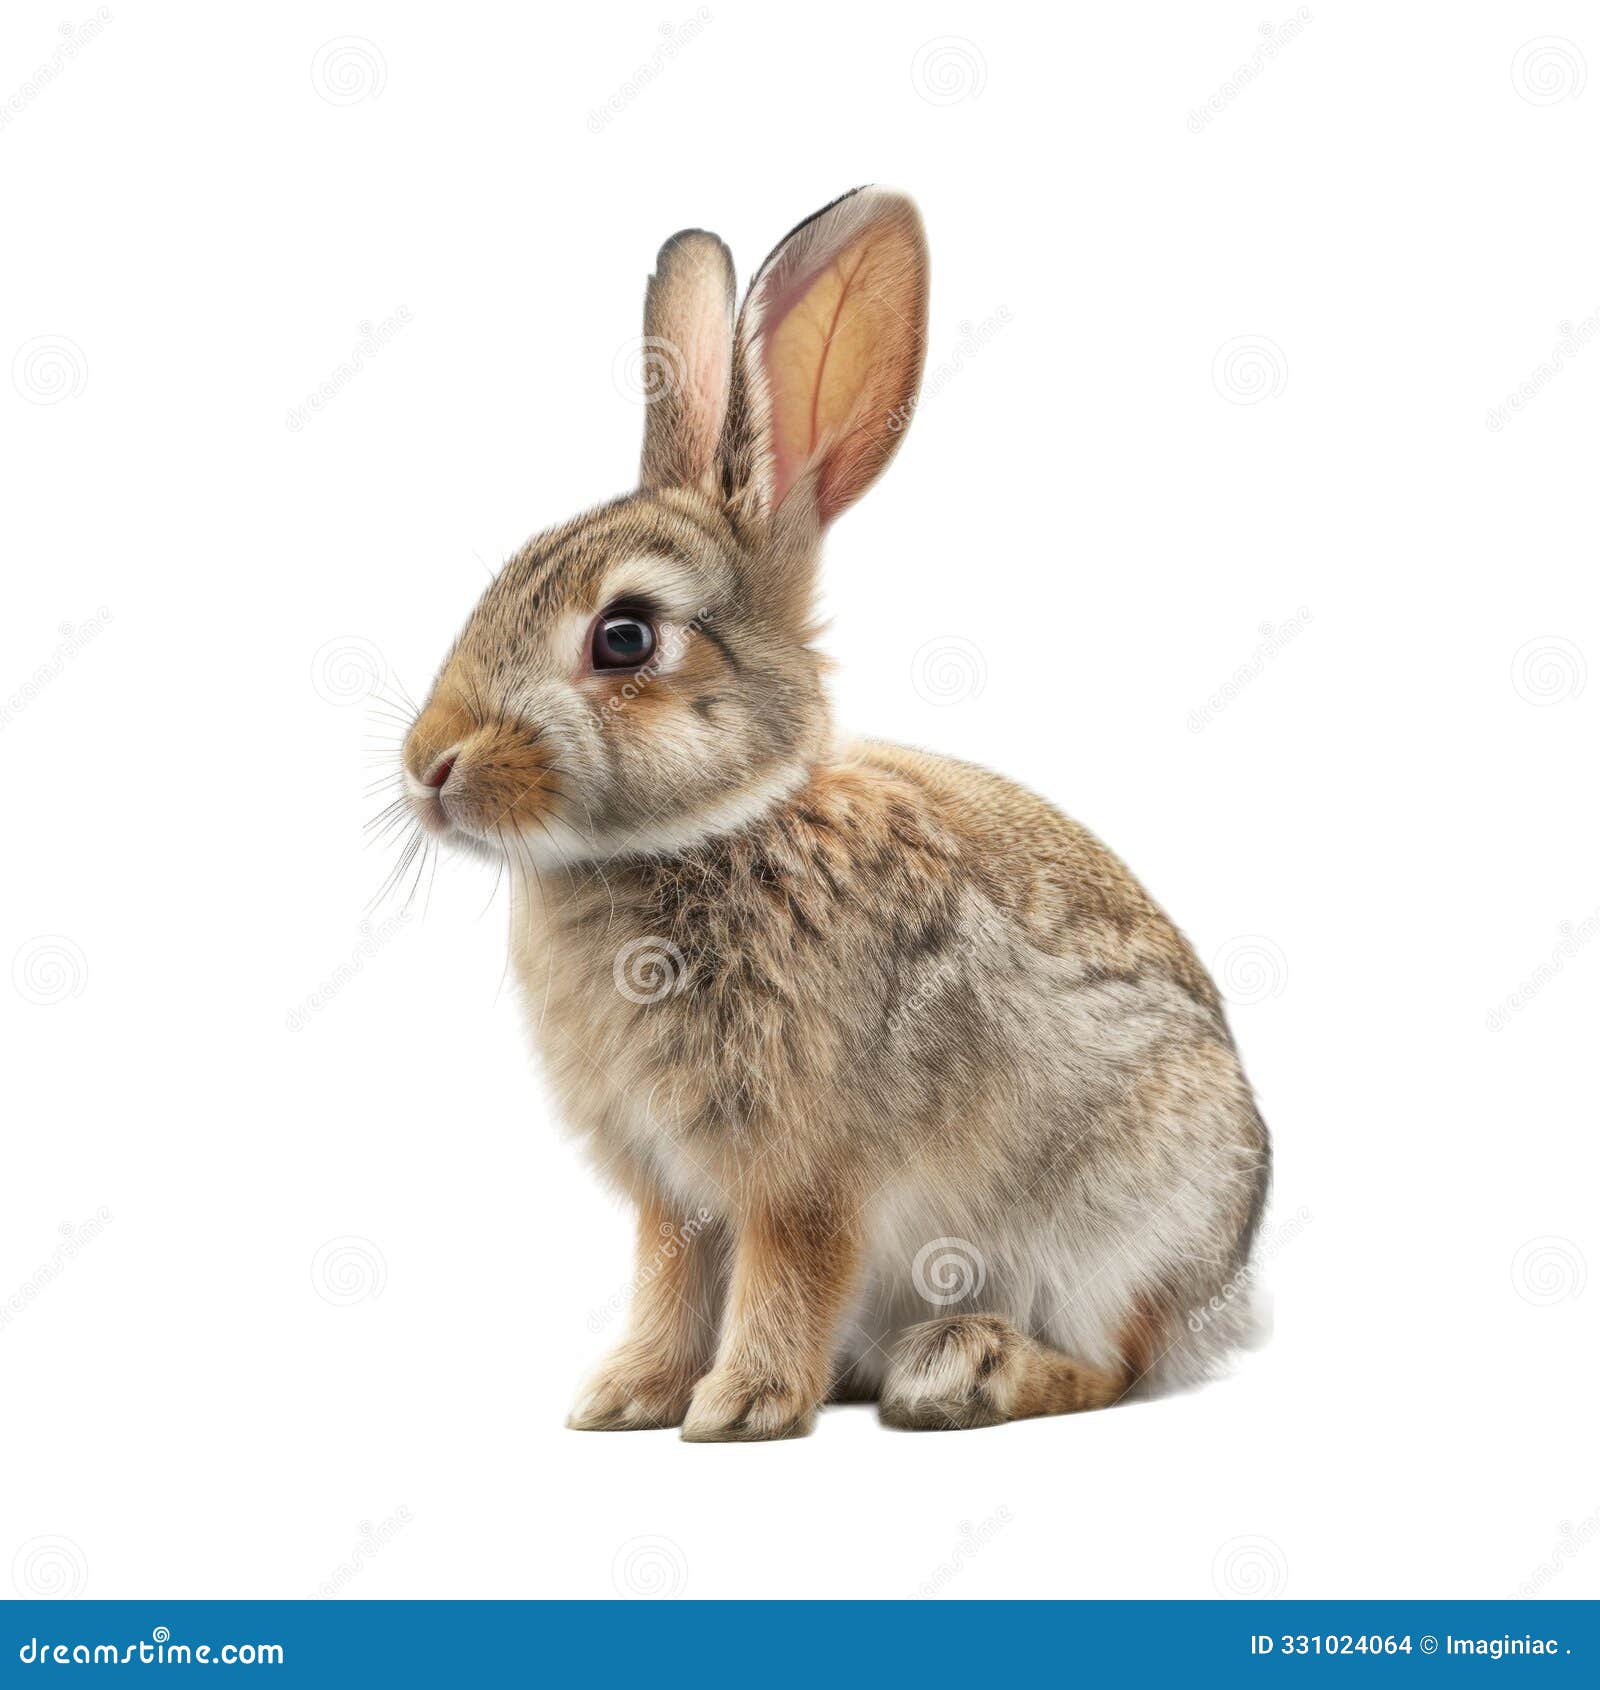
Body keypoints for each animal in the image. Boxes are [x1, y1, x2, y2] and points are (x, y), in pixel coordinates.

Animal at [399, 187, 1271, 1440]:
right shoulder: (671, 1187)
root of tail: (1224, 1286)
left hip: (1119, 1224)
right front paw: (626, 1396)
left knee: (1116, 1362)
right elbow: (669, 1278)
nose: (428, 765)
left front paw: (740, 1406)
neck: (711, 831)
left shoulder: (803, 1169)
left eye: (625, 636)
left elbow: (787, 1269)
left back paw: (961, 1367)